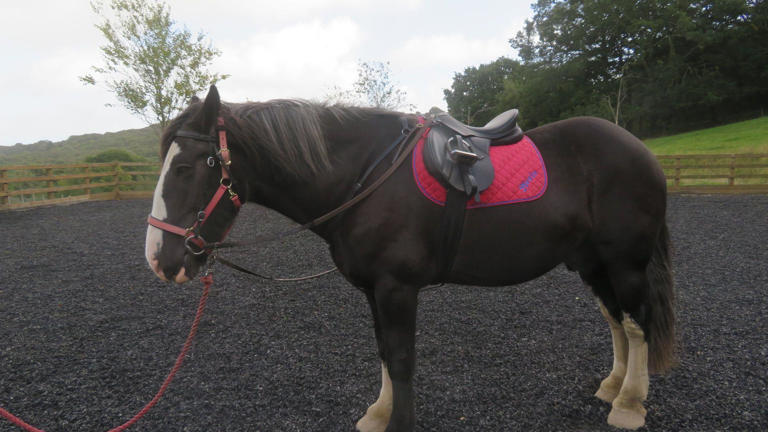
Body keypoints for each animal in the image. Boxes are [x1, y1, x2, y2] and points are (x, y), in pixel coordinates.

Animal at [144, 85, 675, 431]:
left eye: (189, 166)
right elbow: (383, 351)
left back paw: (630, 404)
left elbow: (401, 359)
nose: (160, 259)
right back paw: (613, 386)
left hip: (625, 263)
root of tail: (641, 151)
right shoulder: (375, 290)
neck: (363, 176)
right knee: (615, 319)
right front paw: (379, 414)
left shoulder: (398, 288)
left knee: (636, 324)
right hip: (592, 264)